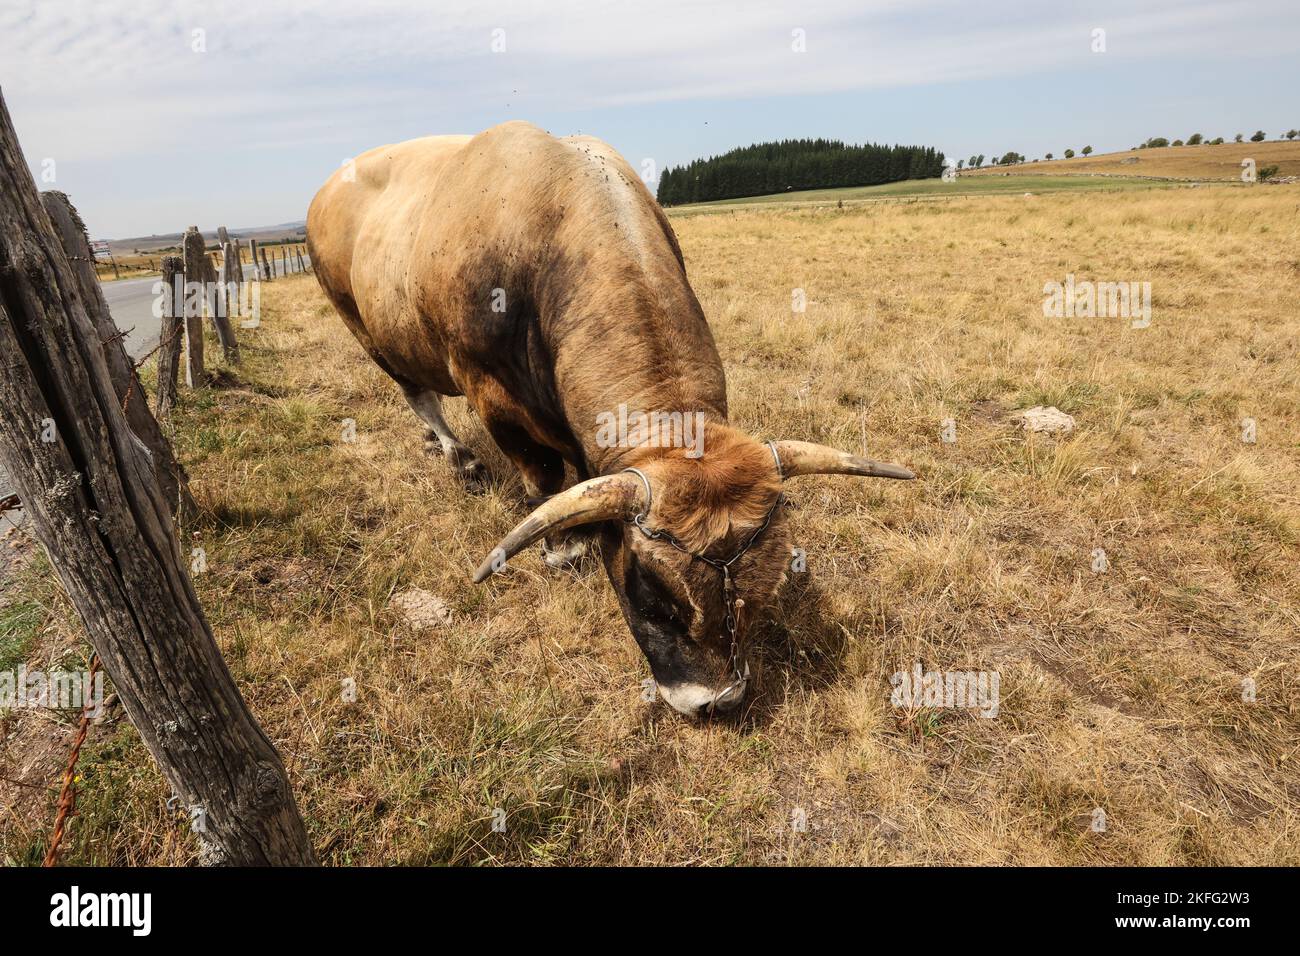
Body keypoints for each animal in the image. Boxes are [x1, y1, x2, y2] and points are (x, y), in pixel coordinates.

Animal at [307, 121, 914, 717]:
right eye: (653, 596)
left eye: (767, 587)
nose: (719, 704)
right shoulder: (492, 395)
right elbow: (542, 476)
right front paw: (563, 547)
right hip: (367, 331)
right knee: (420, 396)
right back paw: (458, 456)